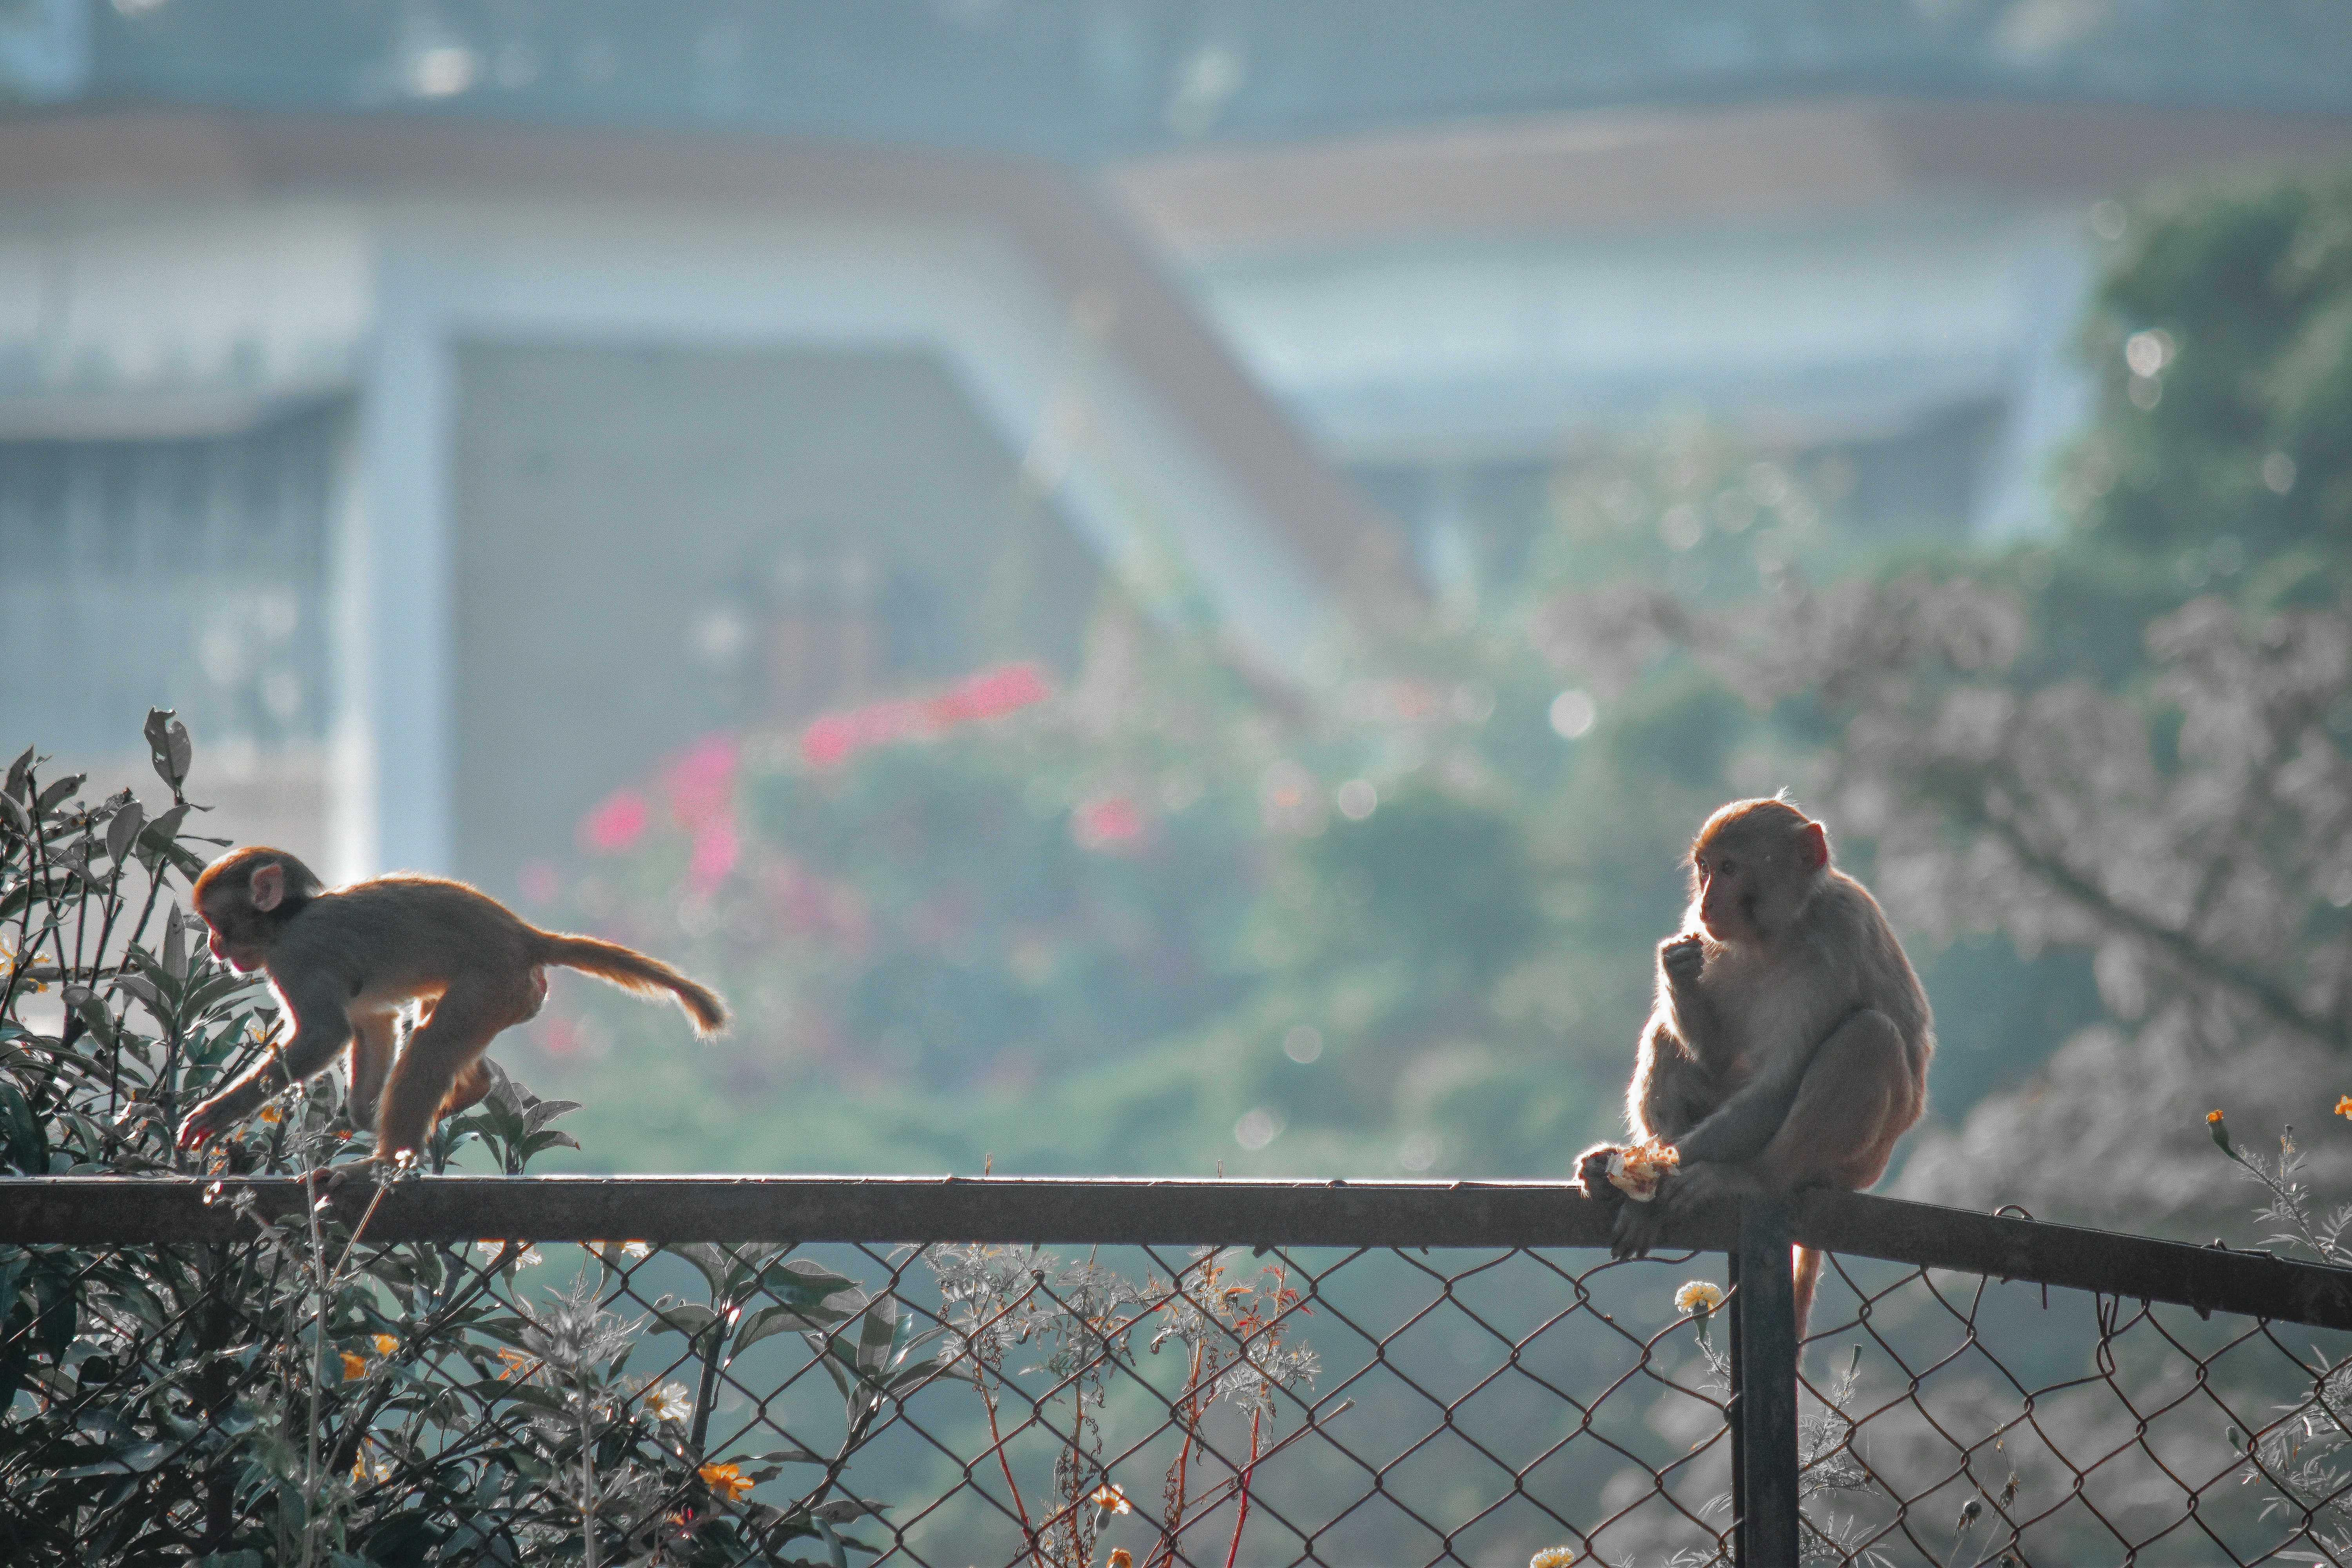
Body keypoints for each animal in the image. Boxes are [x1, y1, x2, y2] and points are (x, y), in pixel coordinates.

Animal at [174, 846, 727, 1164]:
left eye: (217, 922)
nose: (215, 947)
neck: (288, 919)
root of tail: (524, 937)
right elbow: (372, 1019)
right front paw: (360, 1112)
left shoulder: (297, 958)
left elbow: (326, 1034)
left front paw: (217, 1113)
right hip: (516, 994)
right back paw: (466, 1092)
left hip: (494, 985)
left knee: (432, 1043)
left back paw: (389, 1159)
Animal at [1578, 797, 1933, 1336]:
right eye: (1704, 869)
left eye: (1730, 869)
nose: (1706, 903)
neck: (1776, 934)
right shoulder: (1709, 940)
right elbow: (1713, 1053)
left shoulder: (1840, 934)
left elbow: (1777, 1085)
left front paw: (1652, 1192)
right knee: (1665, 1032)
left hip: (1857, 1164)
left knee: (1869, 1037)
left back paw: (1755, 1178)